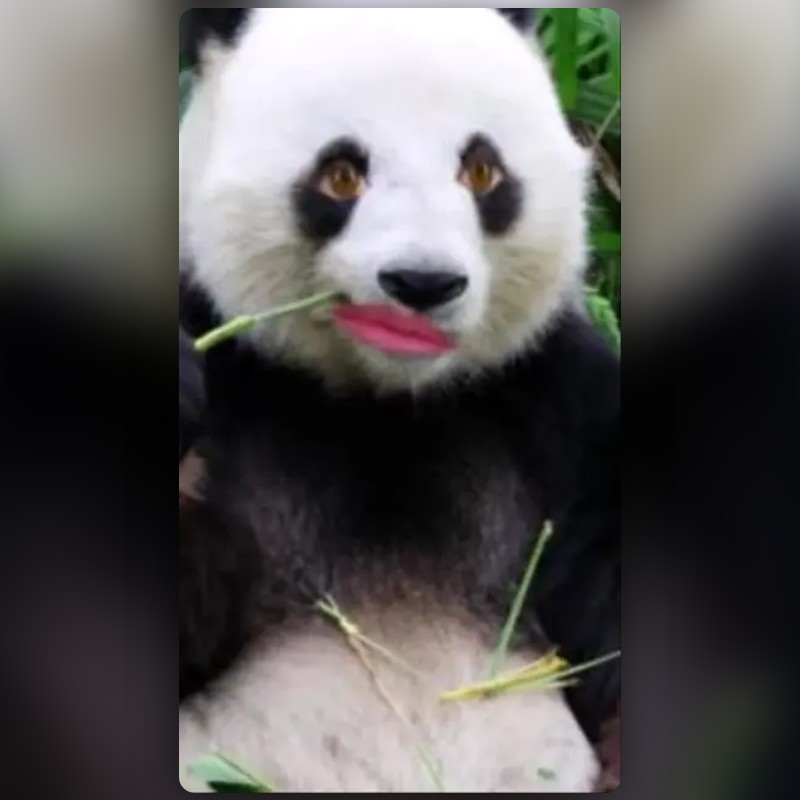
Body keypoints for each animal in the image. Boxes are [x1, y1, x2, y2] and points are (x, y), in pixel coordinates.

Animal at [178, 8, 620, 793]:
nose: (423, 282)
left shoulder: (554, 400)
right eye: (342, 174)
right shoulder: (238, 371)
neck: (384, 404)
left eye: (481, 170)